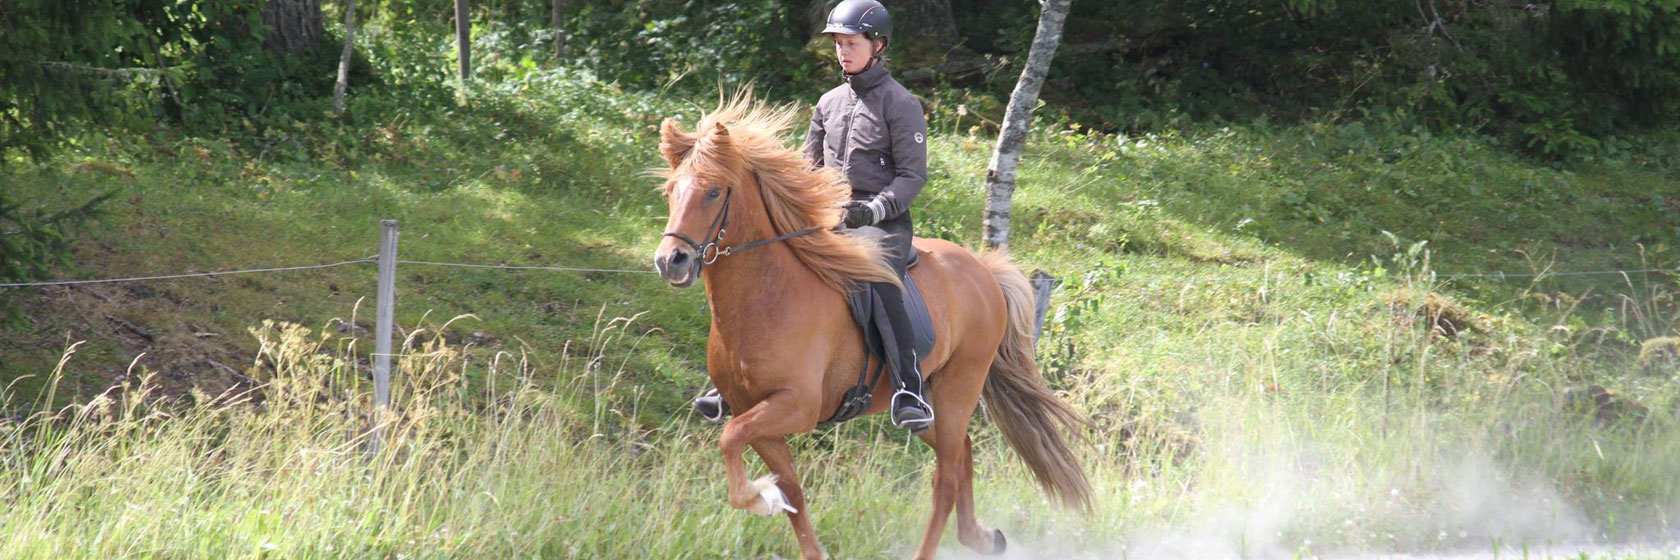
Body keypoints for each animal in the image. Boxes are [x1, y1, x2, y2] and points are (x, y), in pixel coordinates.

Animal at [651, 93, 1092, 560]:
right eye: (670, 191)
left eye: (713, 191)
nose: (671, 261)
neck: (770, 297)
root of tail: (984, 270)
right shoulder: (756, 415)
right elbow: (789, 489)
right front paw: (775, 504)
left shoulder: (796, 407)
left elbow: (731, 440)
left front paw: (759, 498)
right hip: (933, 405)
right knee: (963, 455)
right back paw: (982, 537)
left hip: (959, 389)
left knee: (946, 479)